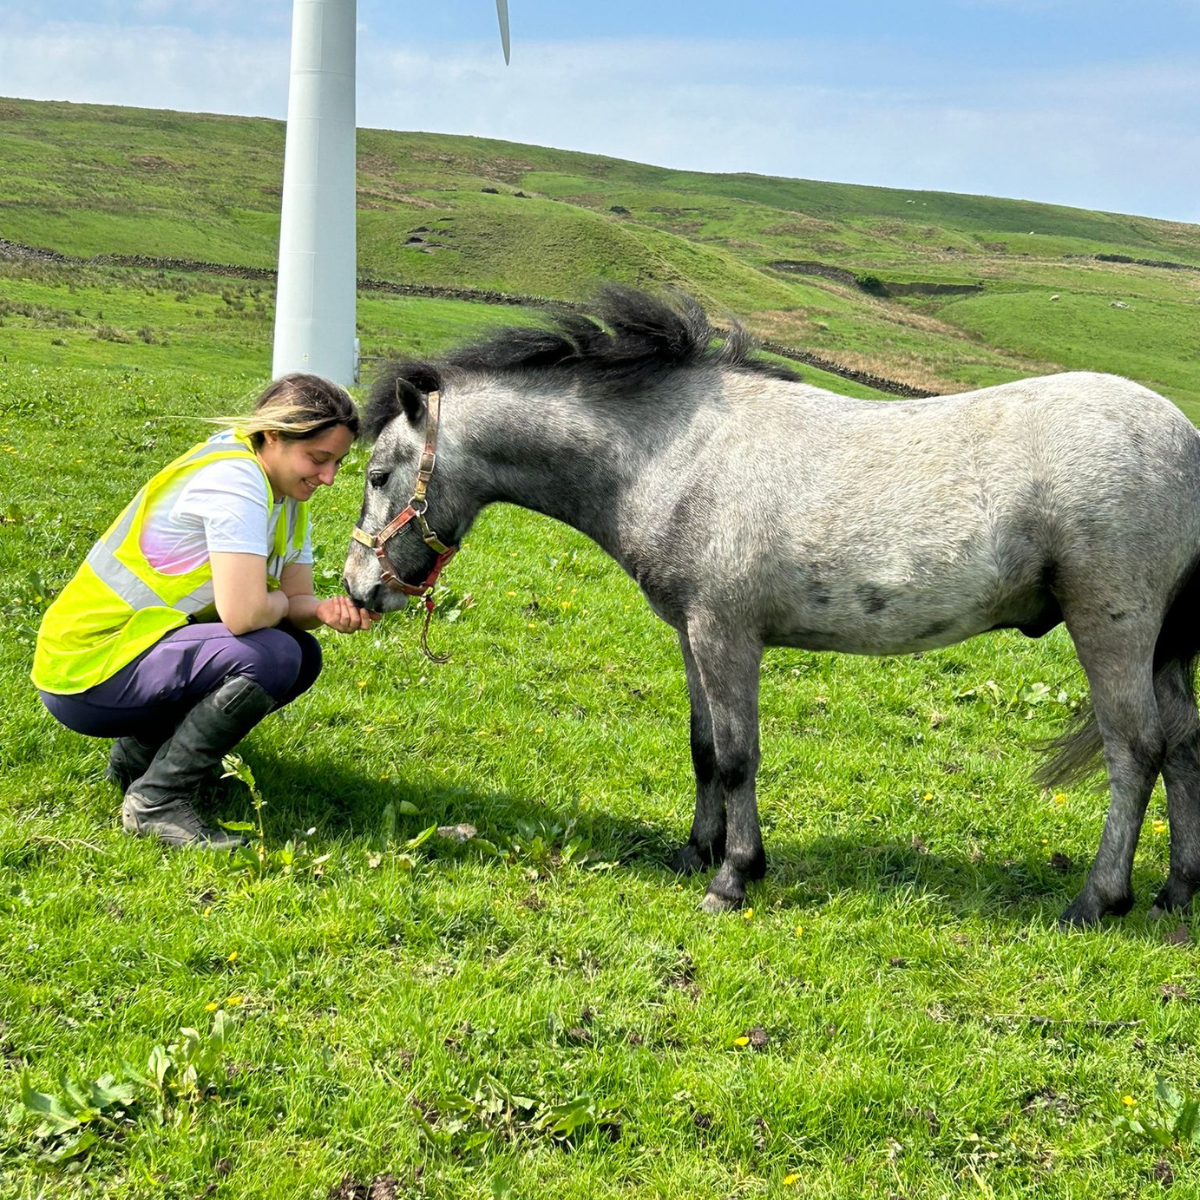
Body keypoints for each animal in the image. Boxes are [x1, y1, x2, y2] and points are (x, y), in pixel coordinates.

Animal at [343, 286, 1200, 927]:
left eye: (379, 473)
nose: (358, 589)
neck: (674, 451)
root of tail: (1187, 439)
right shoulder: (691, 634)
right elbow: (701, 749)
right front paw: (695, 852)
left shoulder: (727, 636)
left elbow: (736, 756)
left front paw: (733, 876)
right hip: (1163, 647)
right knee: (1185, 747)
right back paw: (1175, 894)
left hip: (1113, 629)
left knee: (1136, 751)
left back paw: (1097, 900)